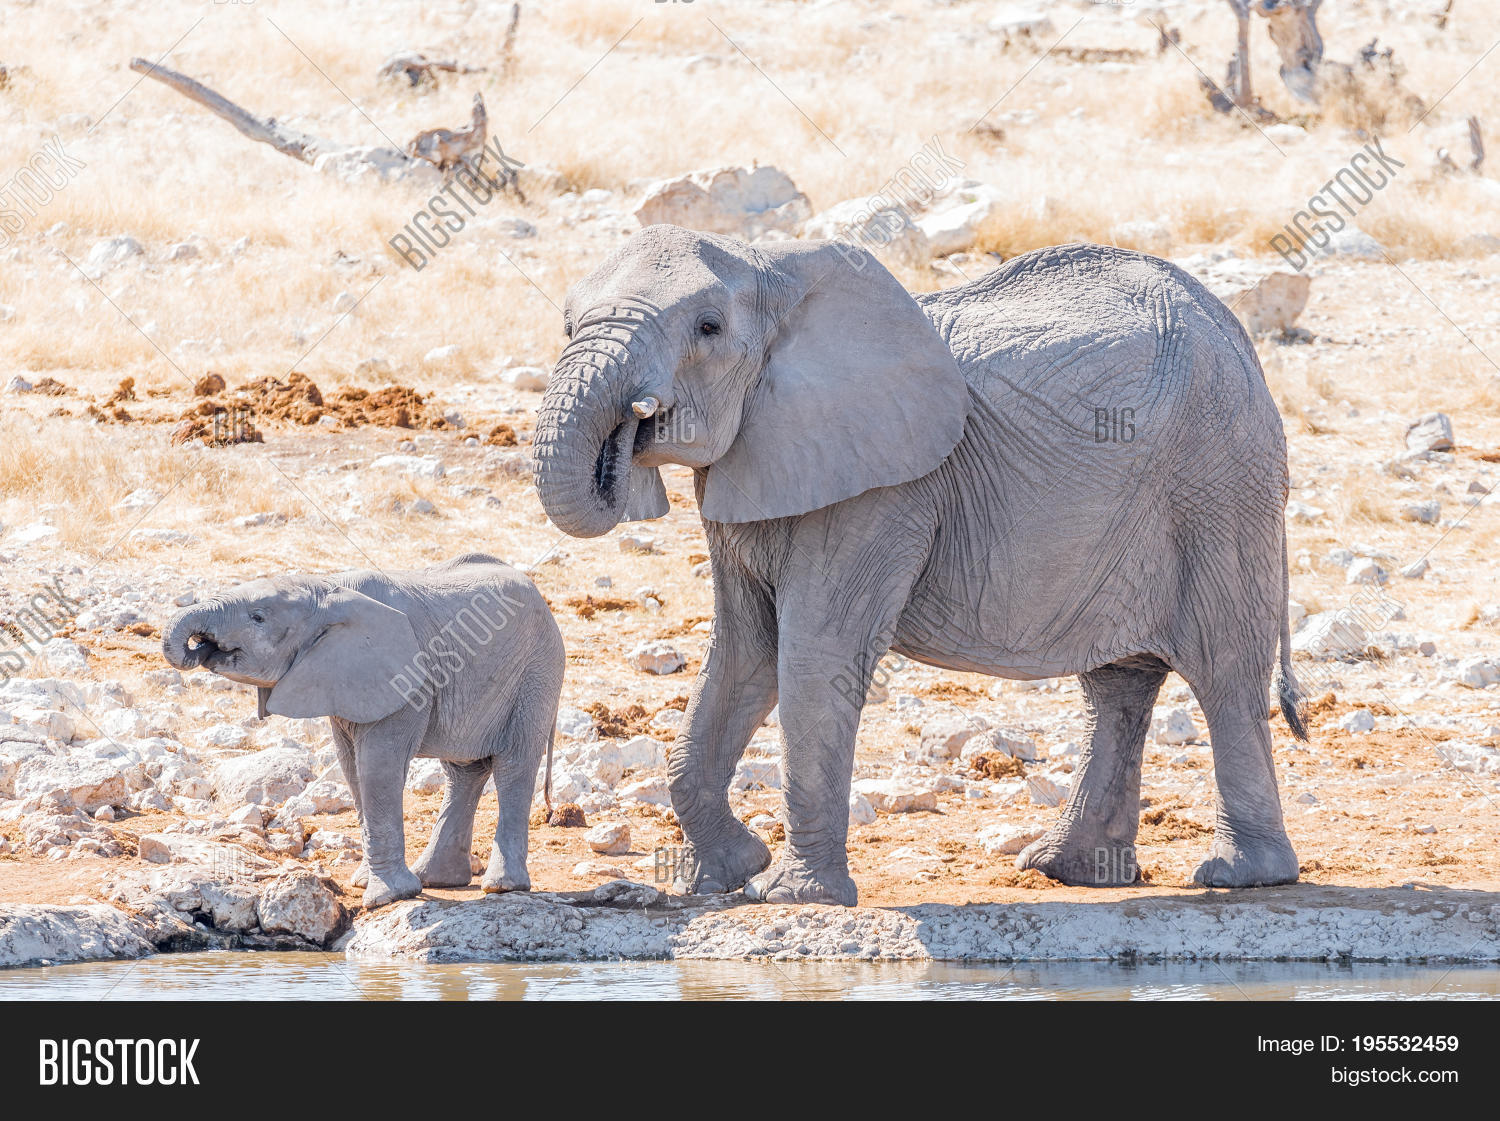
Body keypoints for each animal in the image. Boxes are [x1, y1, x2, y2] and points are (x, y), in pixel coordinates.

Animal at [161, 553, 564, 909]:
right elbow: (351, 768)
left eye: (257, 617)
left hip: (537, 673)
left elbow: (377, 767)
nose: (201, 645)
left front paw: (388, 897)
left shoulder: (404, 677)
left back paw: (502, 888)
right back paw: (437, 879)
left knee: (513, 765)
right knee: (464, 772)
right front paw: (369, 883)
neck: (329, 588)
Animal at [530, 224, 1308, 907]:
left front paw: (791, 895)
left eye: (709, 328)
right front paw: (725, 875)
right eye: (566, 325)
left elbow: (815, 654)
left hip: (1218, 482)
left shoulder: (883, 488)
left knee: (1224, 671)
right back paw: (1068, 869)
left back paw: (1239, 877)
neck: (777, 268)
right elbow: (745, 654)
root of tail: (1237, 333)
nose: (630, 428)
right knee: (1118, 685)